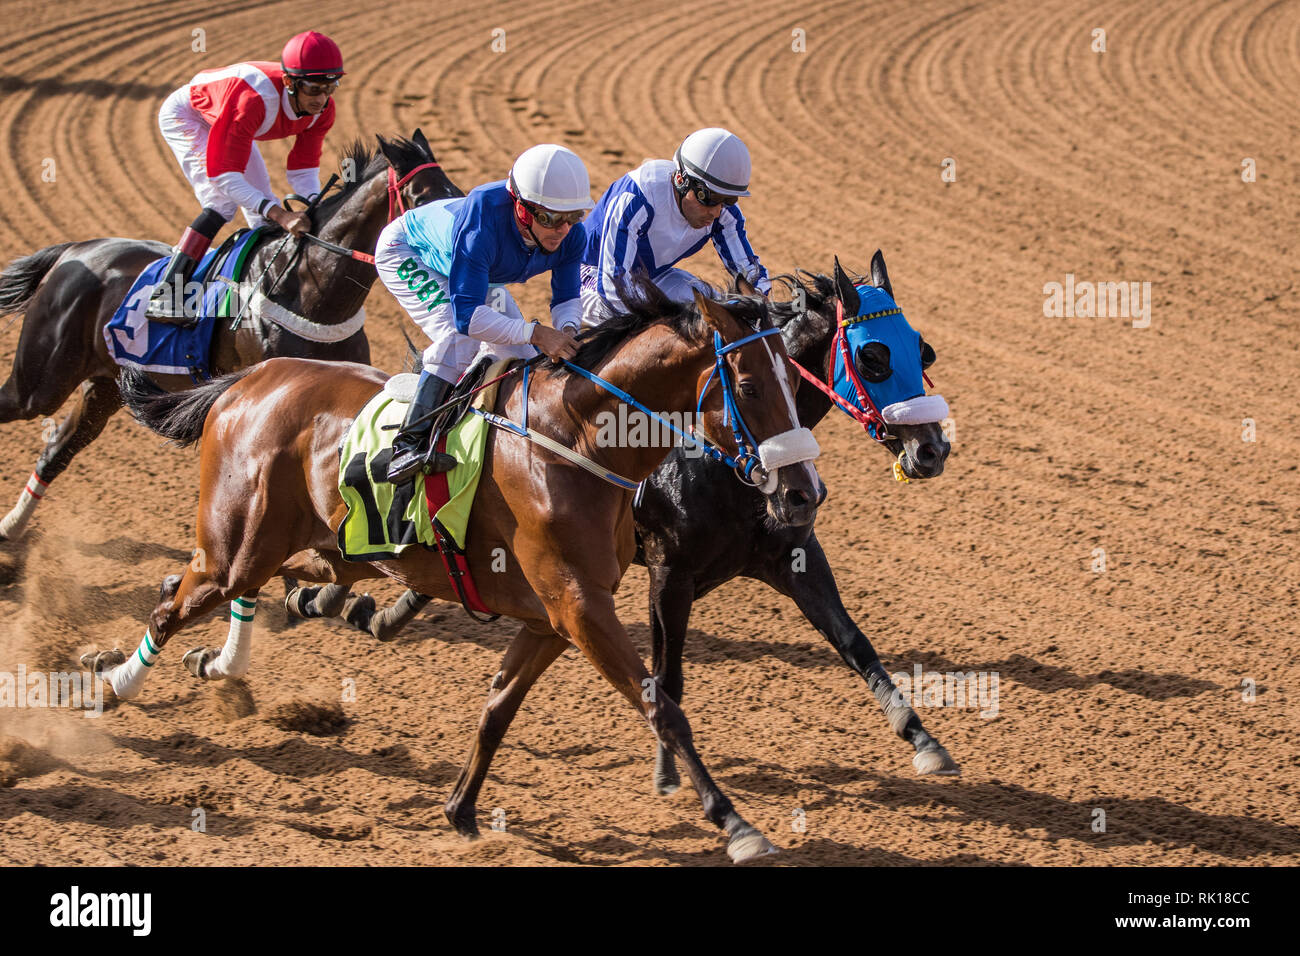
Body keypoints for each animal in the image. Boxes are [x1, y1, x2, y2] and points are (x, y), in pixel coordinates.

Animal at [0, 130, 459, 542]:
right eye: (420, 195)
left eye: (453, 189)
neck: (306, 290)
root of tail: (74, 250)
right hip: (42, 381)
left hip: (106, 386)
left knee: (55, 452)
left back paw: (12, 530)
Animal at [100, 281, 823, 862]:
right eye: (751, 387)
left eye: (796, 386)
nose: (801, 494)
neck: (575, 439)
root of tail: (247, 382)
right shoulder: (580, 606)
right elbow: (661, 707)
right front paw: (738, 826)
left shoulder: (552, 619)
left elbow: (498, 707)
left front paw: (462, 810)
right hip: (239, 546)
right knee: (175, 602)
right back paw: (113, 686)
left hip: (311, 546)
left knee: (210, 586)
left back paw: (215, 660)